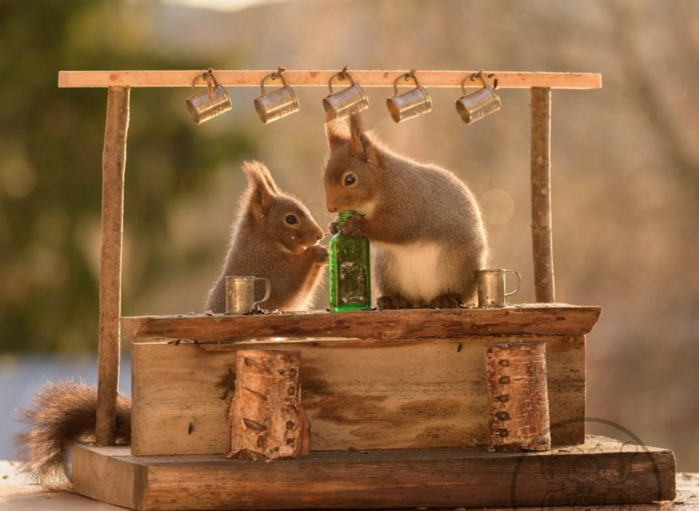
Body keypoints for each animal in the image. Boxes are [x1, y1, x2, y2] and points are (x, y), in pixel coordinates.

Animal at [205, 160, 327, 312]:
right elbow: (286, 280)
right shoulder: (264, 262)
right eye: (291, 219)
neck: (264, 237)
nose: (320, 235)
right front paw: (316, 252)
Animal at [323, 114, 489, 309]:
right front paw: (334, 225)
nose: (330, 208)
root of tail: (424, 299)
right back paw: (394, 299)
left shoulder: (409, 205)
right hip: (388, 270)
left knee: (459, 293)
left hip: (455, 266)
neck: (383, 183)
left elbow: (397, 228)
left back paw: (447, 298)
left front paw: (357, 225)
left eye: (350, 179)